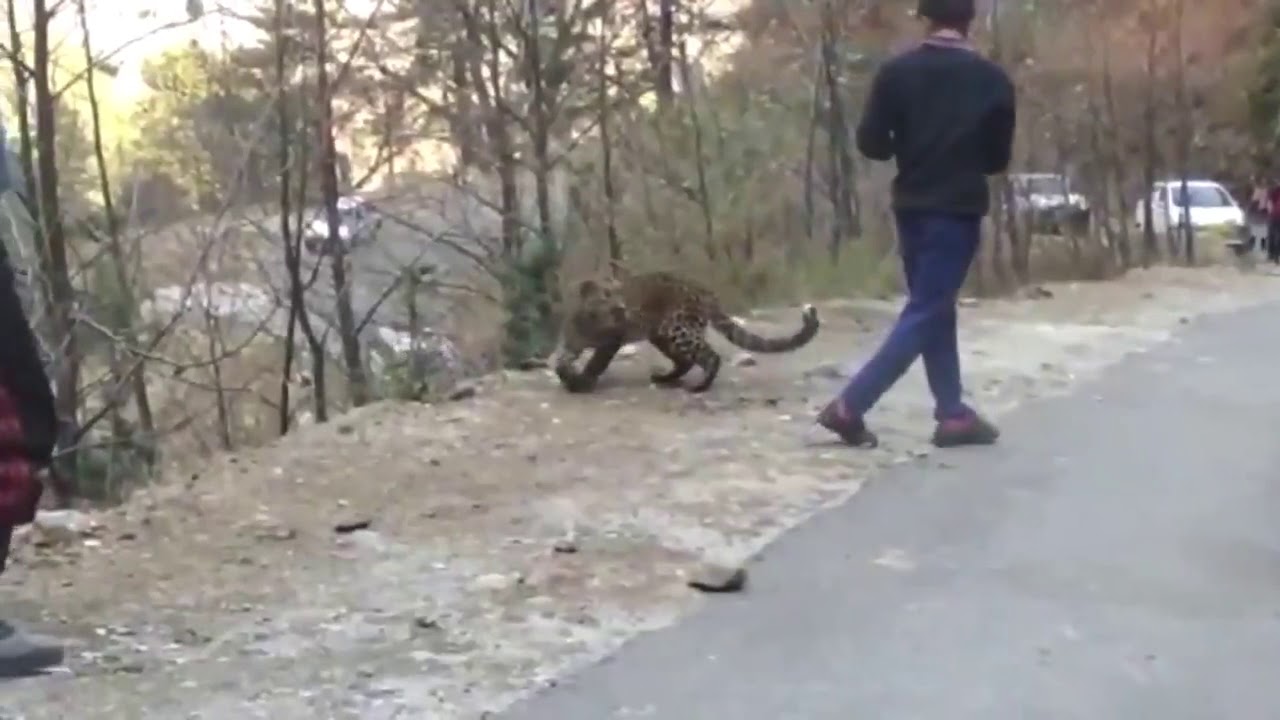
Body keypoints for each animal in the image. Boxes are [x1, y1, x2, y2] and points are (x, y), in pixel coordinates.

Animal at [553, 264, 819, 394]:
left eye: (620, 293)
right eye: (607, 295)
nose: (622, 307)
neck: (589, 319)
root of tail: (704, 289)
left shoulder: (612, 341)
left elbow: (596, 362)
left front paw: (583, 381)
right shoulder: (571, 342)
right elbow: (560, 363)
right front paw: (569, 377)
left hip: (678, 329)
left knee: (710, 356)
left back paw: (699, 387)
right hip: (662, 335)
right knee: (686, 361)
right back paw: (664, 378)